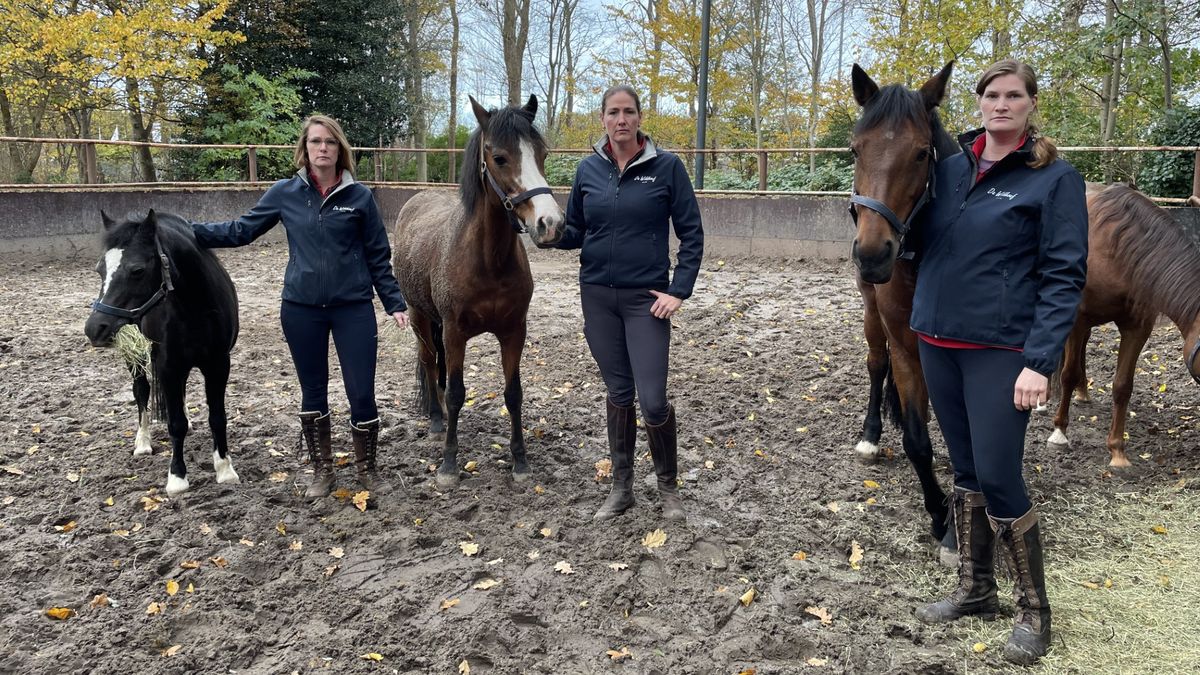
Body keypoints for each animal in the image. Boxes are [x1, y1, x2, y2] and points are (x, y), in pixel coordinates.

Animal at [84, 210, 241, 496]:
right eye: (100, 269)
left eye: (137, 270)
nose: (94, 329)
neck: (196, 307)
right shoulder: (169, 366)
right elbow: (175, 424)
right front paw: (177, 478)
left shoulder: (218, 364)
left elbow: (217, 417)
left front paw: (224, 468)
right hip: (135, 356)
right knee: (141, 391)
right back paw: (142, 442)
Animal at [391, 94, 565, 488]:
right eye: (499, 157)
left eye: (542, 154)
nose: (550, 224)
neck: (489, 261)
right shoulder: (455, 332)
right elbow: (456, 394)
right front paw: (448, 465)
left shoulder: (514, 331)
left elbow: (514, 394)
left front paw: (520, 461)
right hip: (419, 316)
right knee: (429, 363)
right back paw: (436, 421)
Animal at [1048, 183, 1200, 465]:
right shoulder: (1077, 319)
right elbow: (1067, 374)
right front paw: (1059, 432)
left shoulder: (1137, 328)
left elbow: (1122, 386)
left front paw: (1117, 451)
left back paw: (1083, 393)